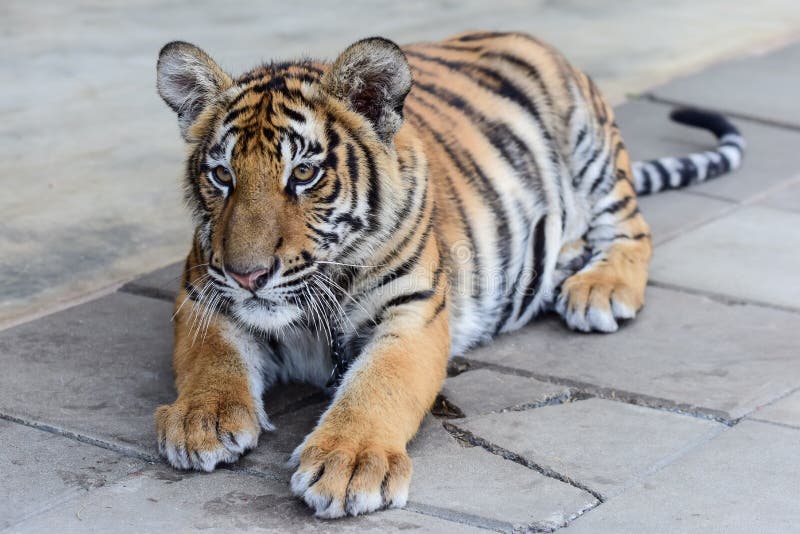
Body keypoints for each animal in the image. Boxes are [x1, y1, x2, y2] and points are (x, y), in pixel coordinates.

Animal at [154, 31, 744, 518]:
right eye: (221, 175)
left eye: (303, 173)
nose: (247, 275)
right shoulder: (201, 295)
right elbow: (211, 360)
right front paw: (199, 420)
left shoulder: (414, 312)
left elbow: (379, 385)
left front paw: (350, 463)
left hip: (593, 152)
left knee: (633, 231)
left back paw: (598, 288)